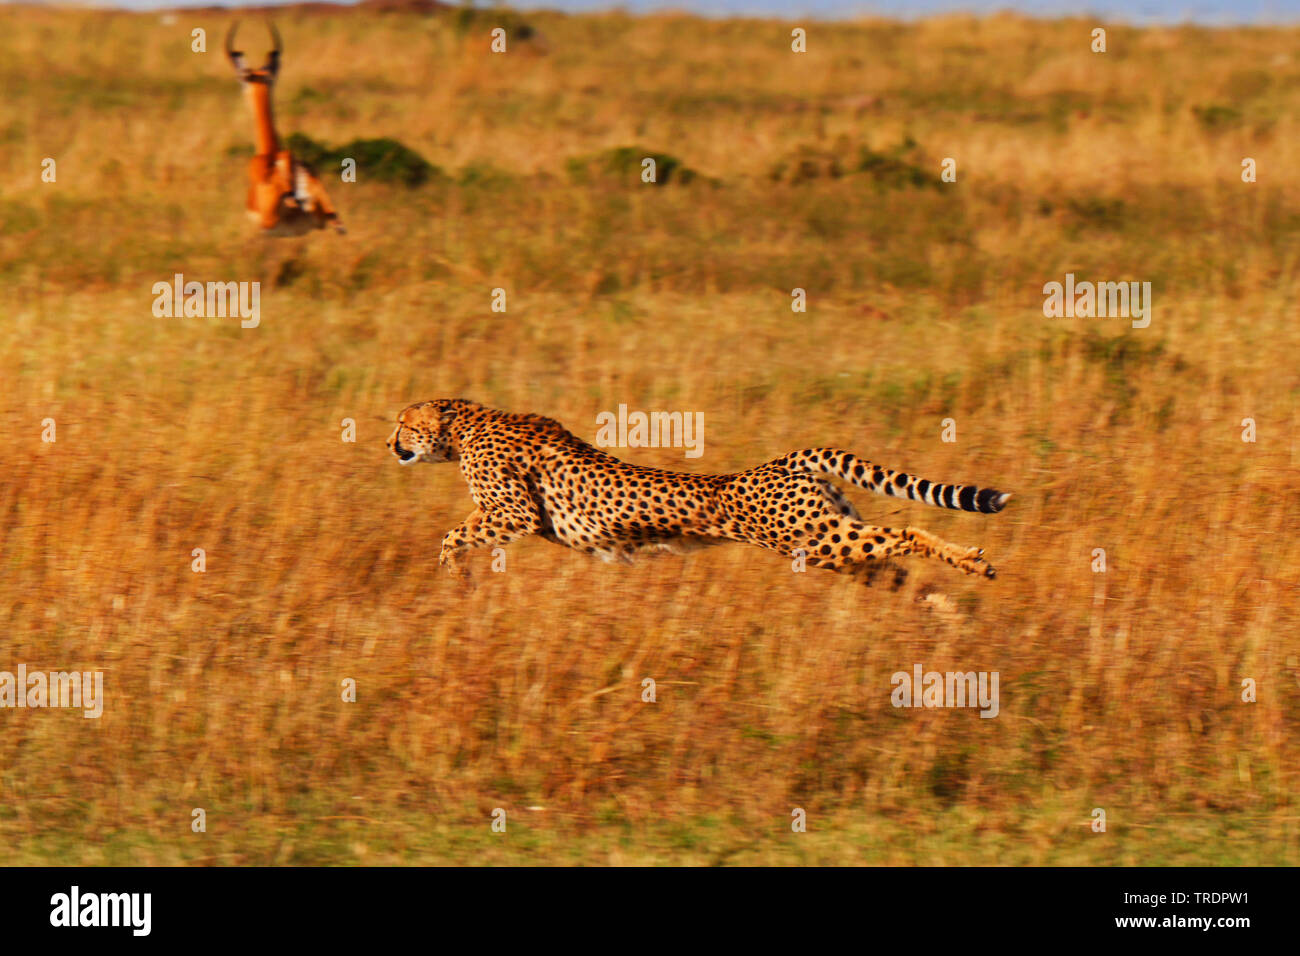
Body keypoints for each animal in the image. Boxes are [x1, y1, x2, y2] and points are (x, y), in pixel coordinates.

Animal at [387, 398, 1012, 584]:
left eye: (403, 422)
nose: (389, 443)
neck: (467, 423)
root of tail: (780, 462)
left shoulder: (513, 511)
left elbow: (453, 534)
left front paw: (454, 575)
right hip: (829, 539)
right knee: (894, 568)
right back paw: (946, 612)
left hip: (816, 539)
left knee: (906, 533)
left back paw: (973, 565)